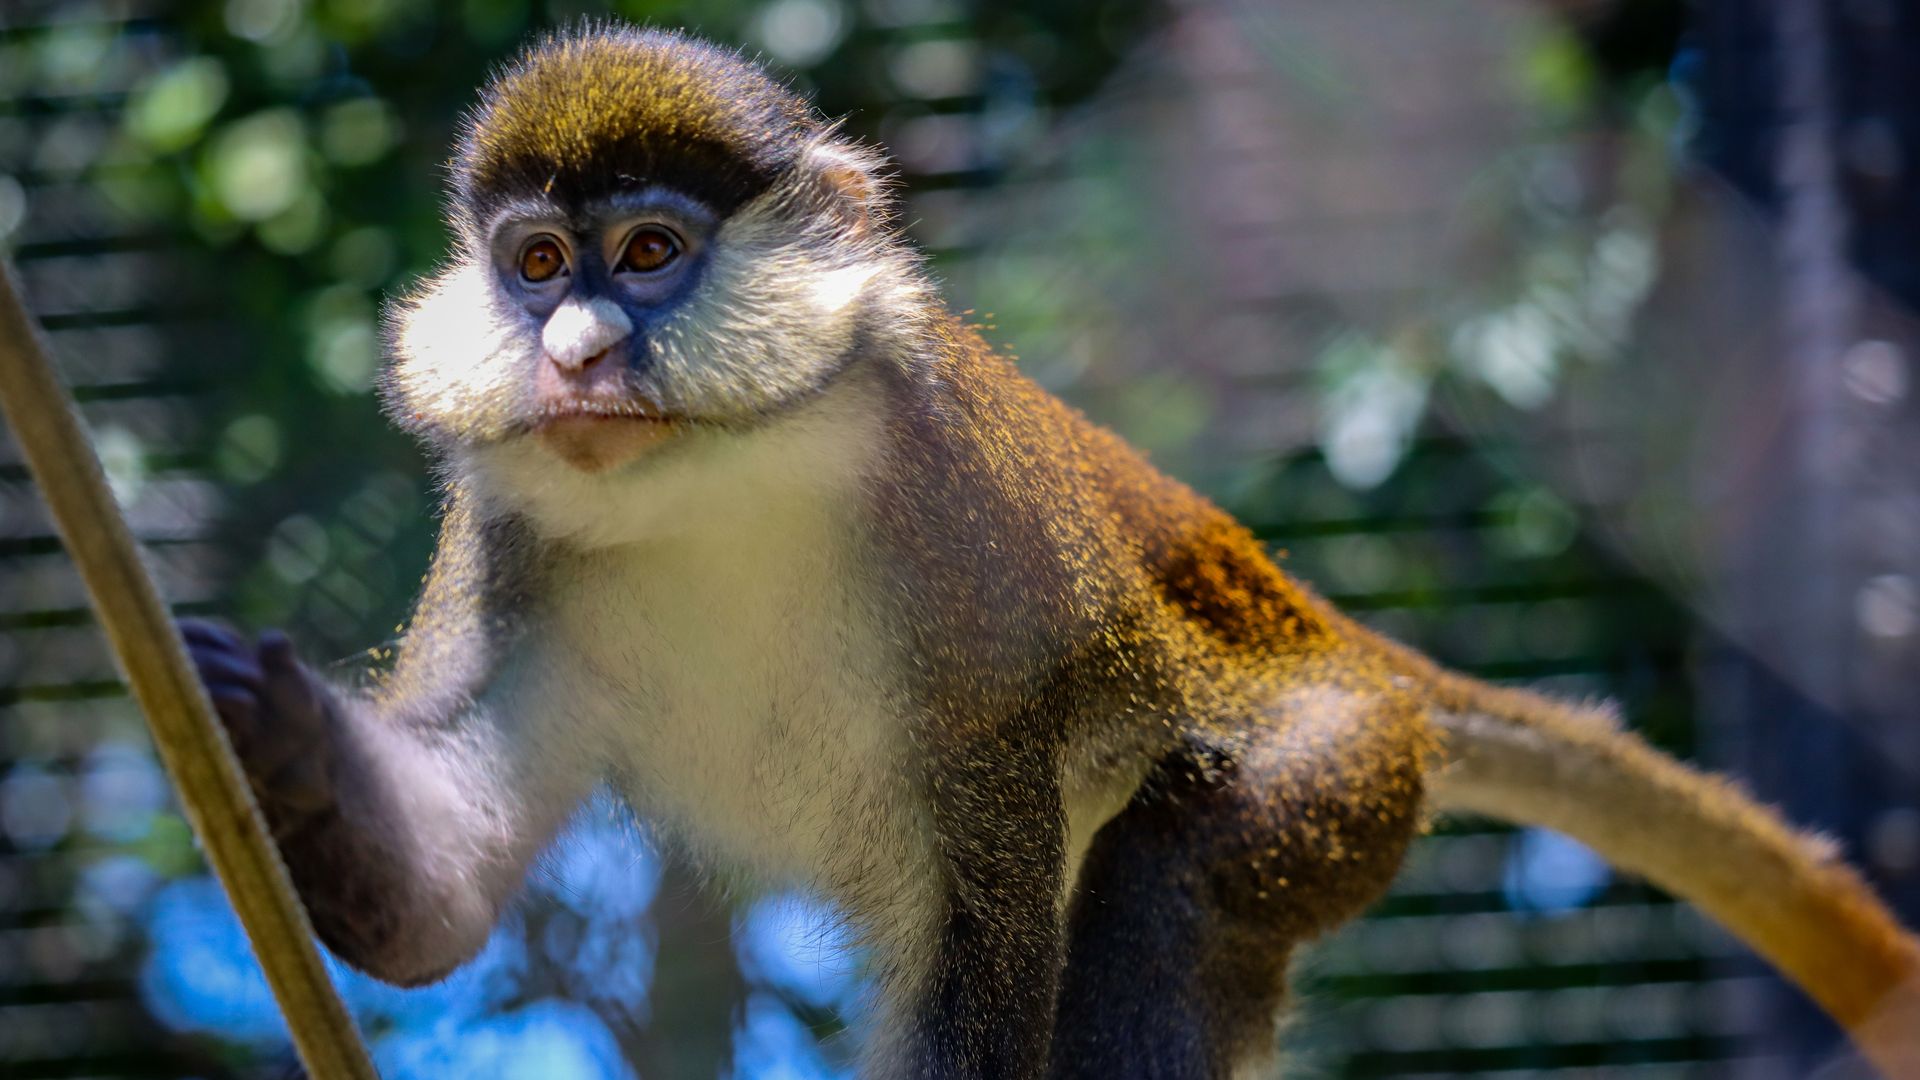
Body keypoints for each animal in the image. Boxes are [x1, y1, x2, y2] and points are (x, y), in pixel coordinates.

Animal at [179, 25, 1920, 1079]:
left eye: (650, 252)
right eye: (536, 264)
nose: (578, 352)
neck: (730, 479)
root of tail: (1354, 652)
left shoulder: (960, 550)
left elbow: (989, 928)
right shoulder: (514, 532)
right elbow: (444, 885)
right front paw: (280, 751)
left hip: (1335, 765)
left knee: (1173, 892)